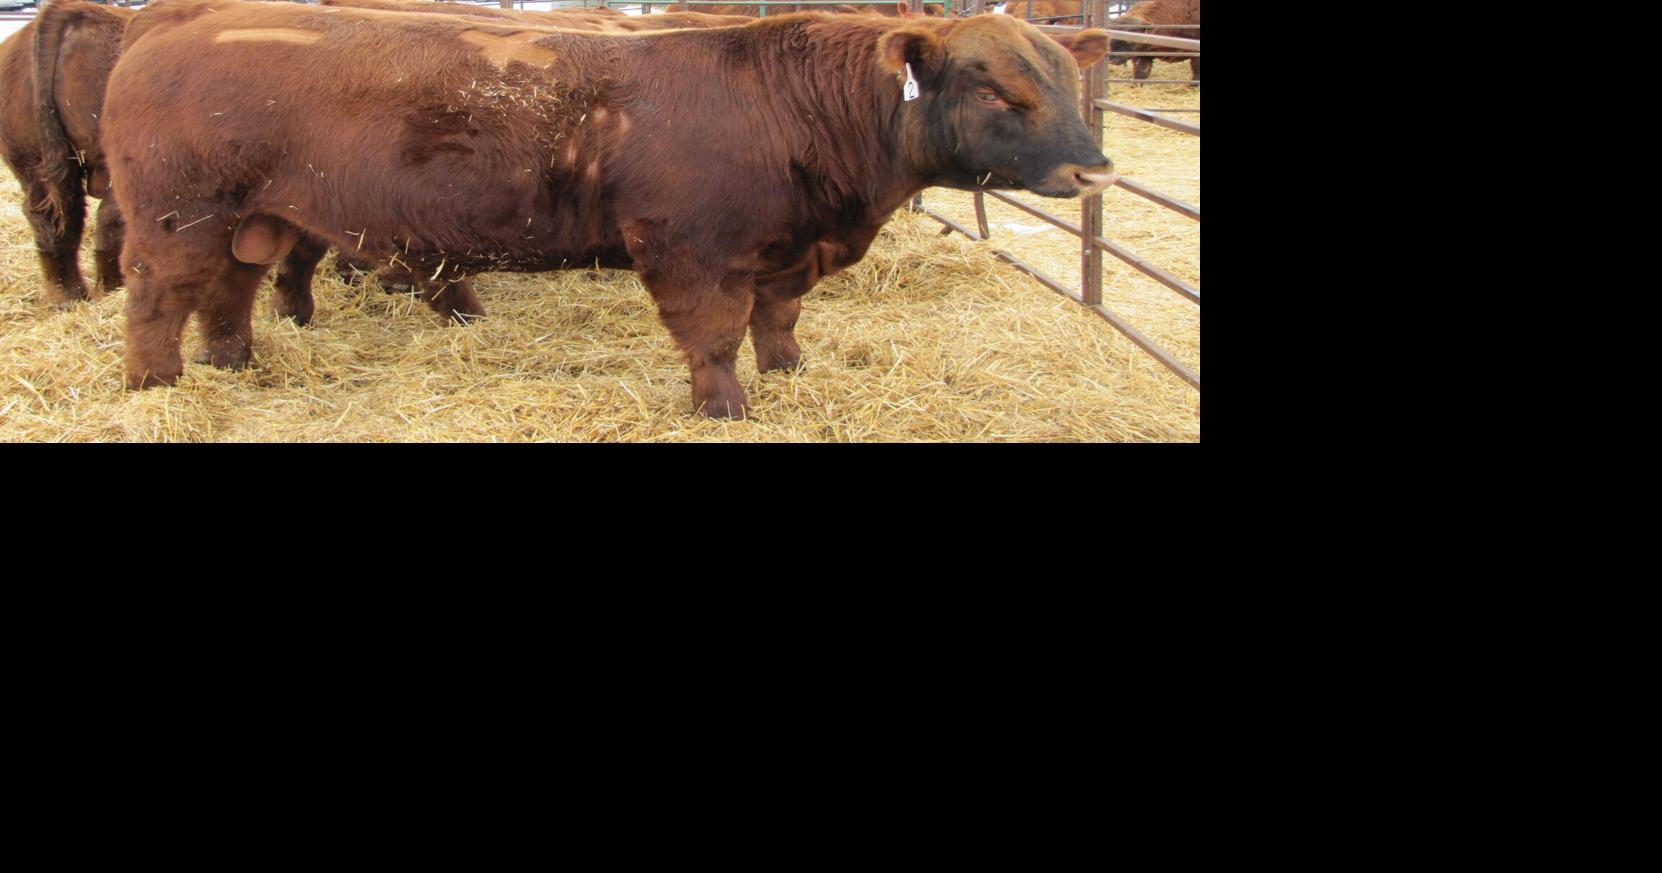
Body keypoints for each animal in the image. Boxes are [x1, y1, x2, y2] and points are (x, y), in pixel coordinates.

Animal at [104, 1, 1116, 417]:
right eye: (1000, 92)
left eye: (1066, 83)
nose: (1097, 170)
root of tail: (176, 19)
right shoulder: (692, 248)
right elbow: (714, 336)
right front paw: (724, 407)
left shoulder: (786, 252)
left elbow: (779, 321)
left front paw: (789, 374)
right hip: (178, 216)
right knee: (157, 298)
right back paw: (156, 386)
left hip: (252, 220)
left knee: (229, 294)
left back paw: (233, 363)